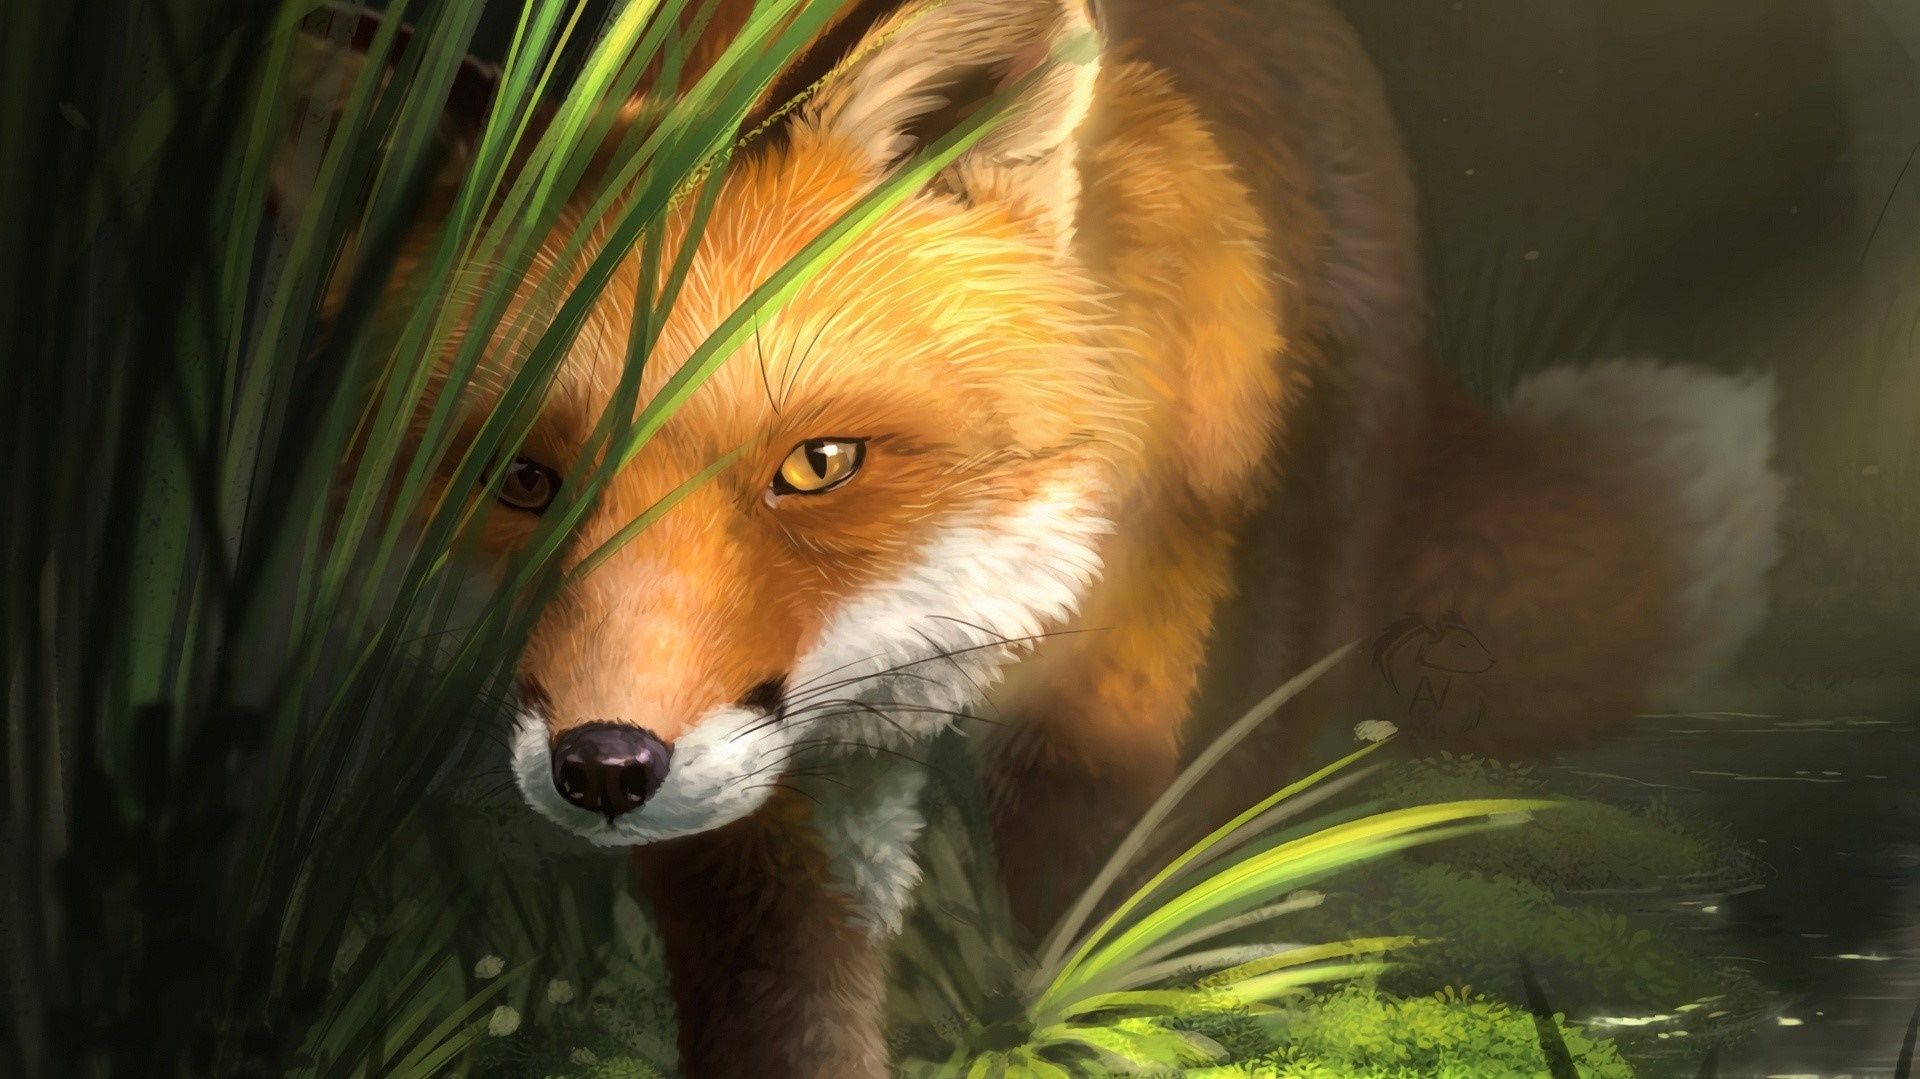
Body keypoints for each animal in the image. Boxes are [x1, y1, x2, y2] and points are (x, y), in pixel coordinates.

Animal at [285, 0, 1786, 1075]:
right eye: (519, 477)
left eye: (817, 464)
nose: (604, 768)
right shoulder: (757, 765)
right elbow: (779, 991)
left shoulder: (1123, 658)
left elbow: (1088, 894)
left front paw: (1080, 1019)